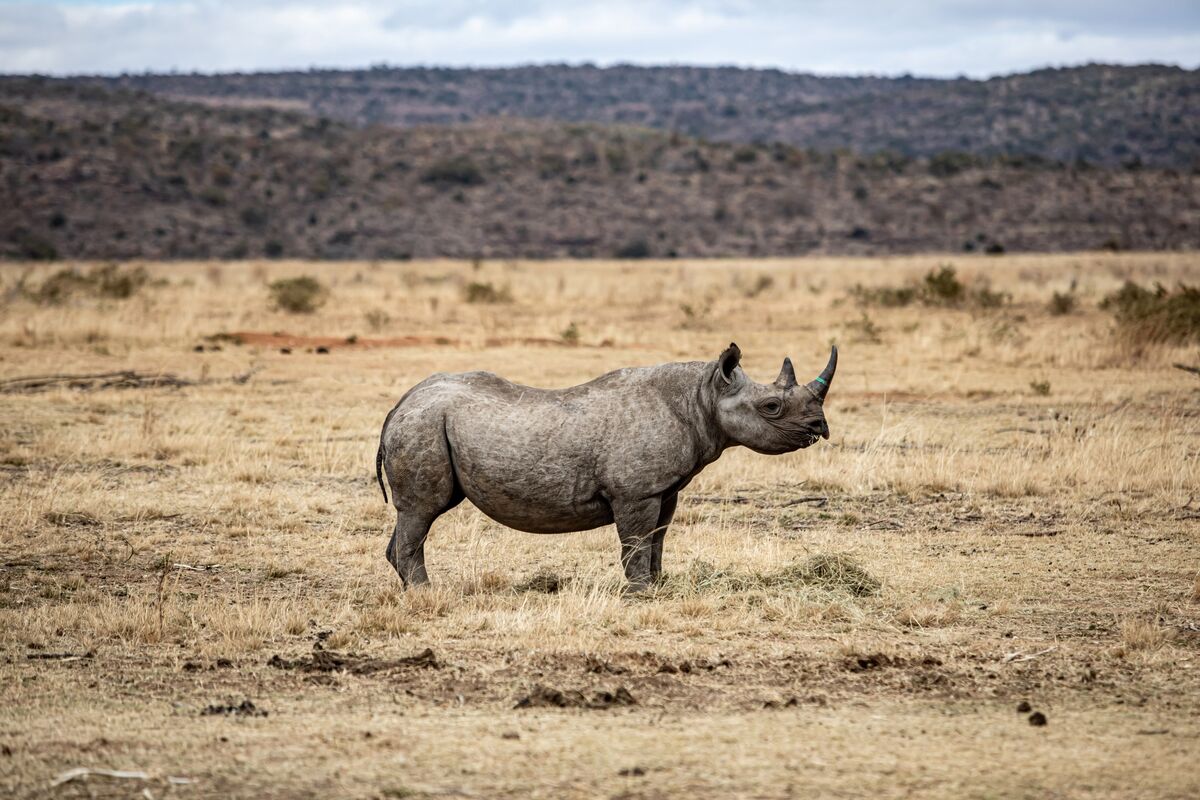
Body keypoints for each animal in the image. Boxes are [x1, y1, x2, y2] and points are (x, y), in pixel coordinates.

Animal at [375, 343, 836, 591]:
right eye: (772, 406)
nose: (820, 427)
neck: (702, 396)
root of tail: (400, 403)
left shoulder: (664, 489)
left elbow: (657, 538)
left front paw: (658, 585)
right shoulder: (636, 491)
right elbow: (635, 540)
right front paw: (638, 592)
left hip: (425, 421)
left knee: (414, 515)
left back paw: (412, 589)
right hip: (424, 423)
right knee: (422, 510)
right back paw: (429, 594)